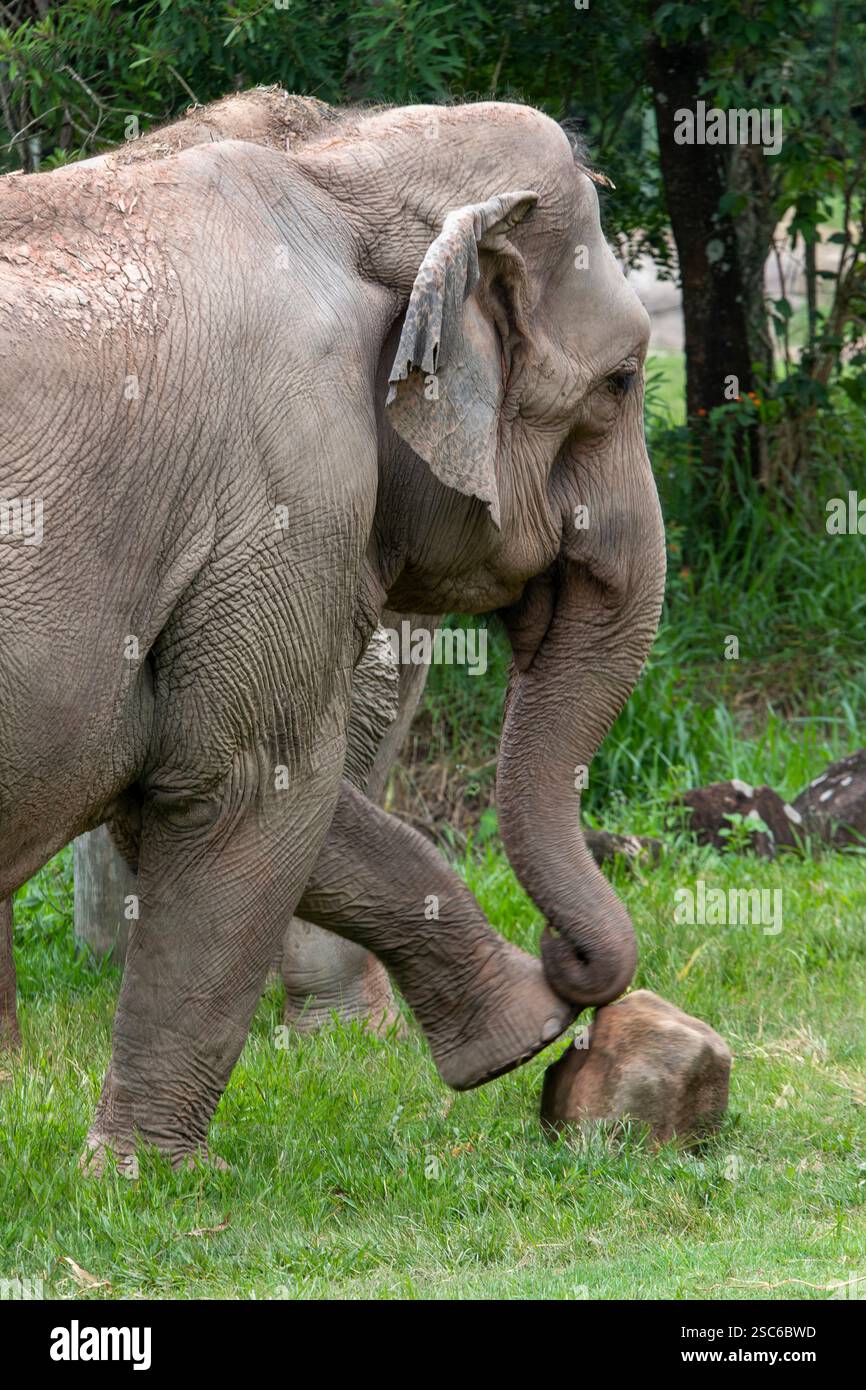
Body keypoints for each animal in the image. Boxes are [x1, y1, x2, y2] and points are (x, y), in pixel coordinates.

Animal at [0, 88, 665, 1169]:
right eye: (621, 381)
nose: (573, 969)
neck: (337, 167)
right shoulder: (283, 482)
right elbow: (242, 785)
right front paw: (151, 1178)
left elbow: (185, 787)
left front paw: (516, 1033)